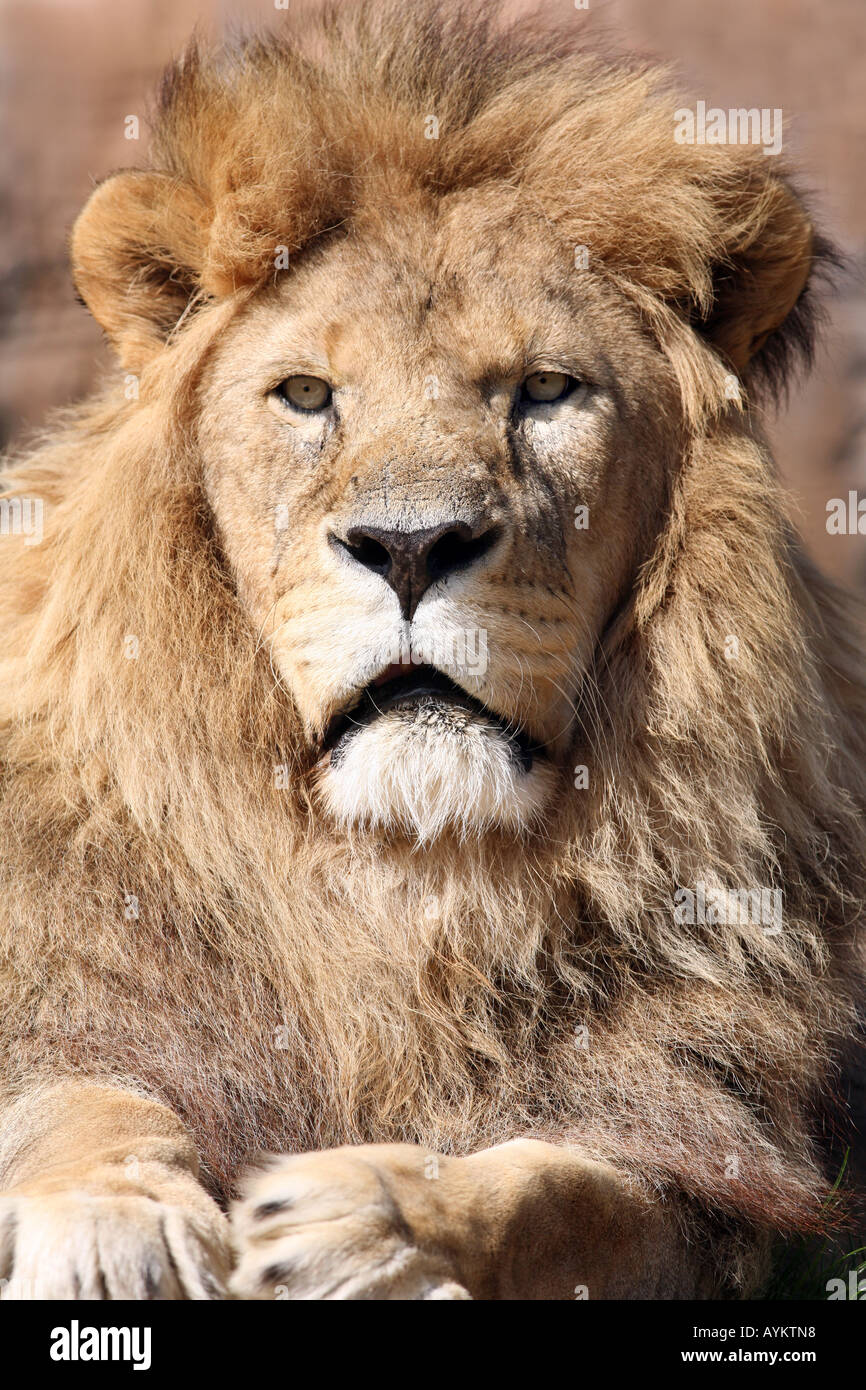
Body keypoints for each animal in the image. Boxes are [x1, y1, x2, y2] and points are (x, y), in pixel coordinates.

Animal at [0, 0, 864, 1301]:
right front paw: (114, 1227)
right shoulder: (77, 993)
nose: (410, 547)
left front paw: (381, 1219)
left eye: (546, 390)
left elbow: (563, 1195)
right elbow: (78, 1096)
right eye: (306, 394)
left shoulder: (697, 1167)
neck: (396, 882)